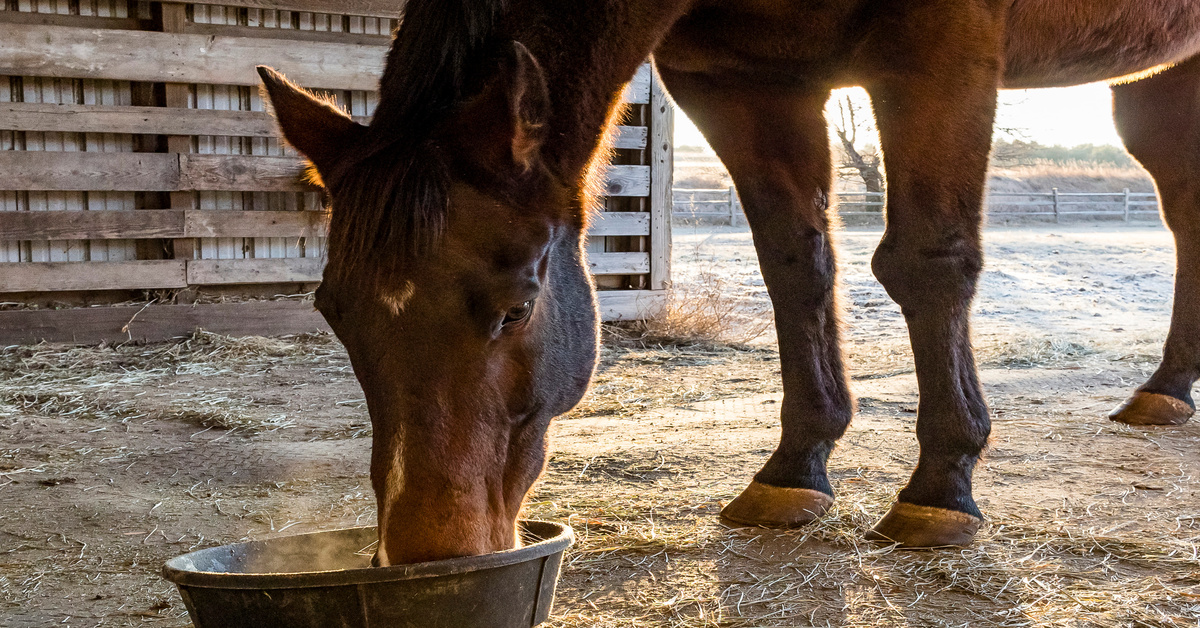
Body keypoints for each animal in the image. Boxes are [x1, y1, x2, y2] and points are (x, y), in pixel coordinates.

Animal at [256, 0, 1200, 565]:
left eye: (515, 309)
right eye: (332, 313)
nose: (431, 550)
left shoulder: (940, 47)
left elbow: (927, 261)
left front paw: (942, 488)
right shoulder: (742, 80)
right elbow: (793, 262)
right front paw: (795, 470)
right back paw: (1166, 390)